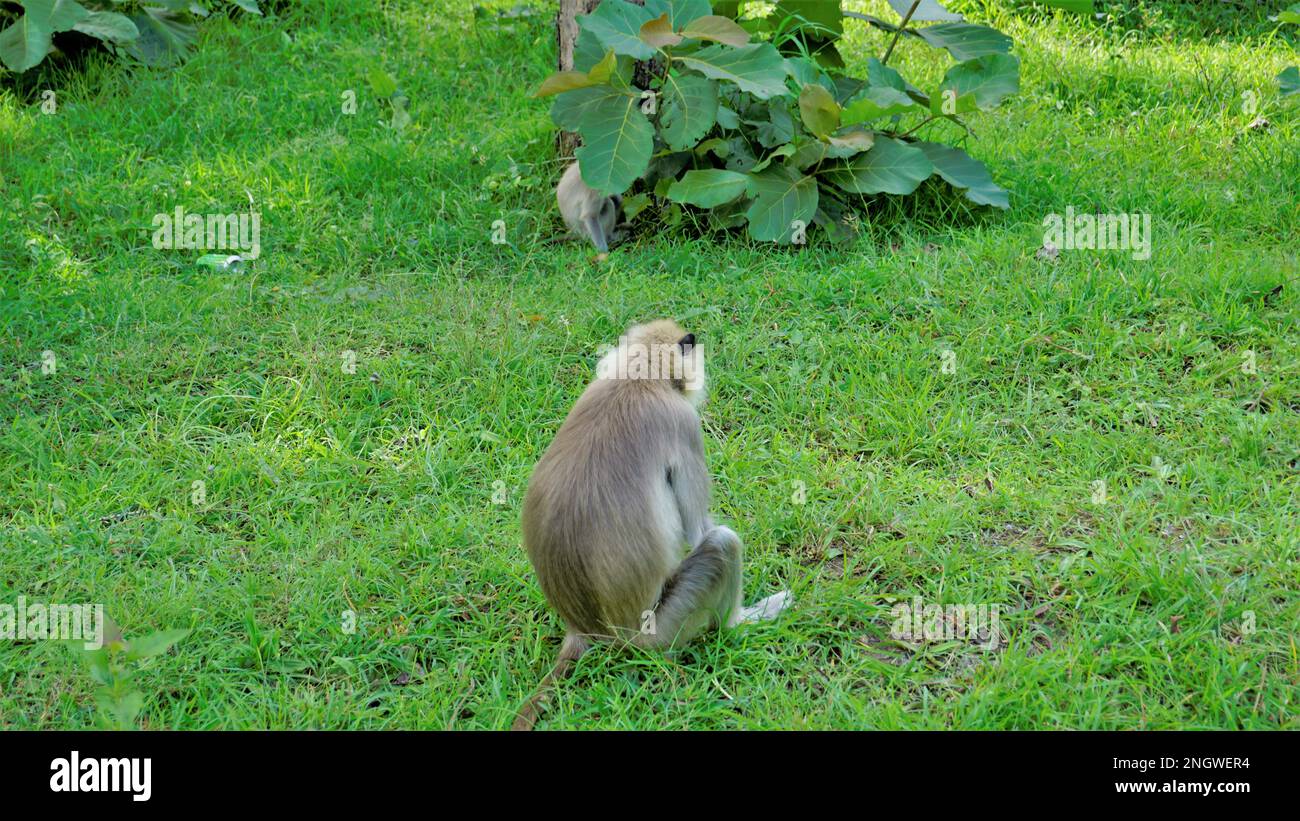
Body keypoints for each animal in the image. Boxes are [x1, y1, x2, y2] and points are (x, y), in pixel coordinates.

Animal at [511, 319, 791, 730]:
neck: (636, 379)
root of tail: (586, 629)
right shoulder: (683, 423)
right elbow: (699, 531)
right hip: (660, 632)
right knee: (722, 543)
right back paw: (743, 621)